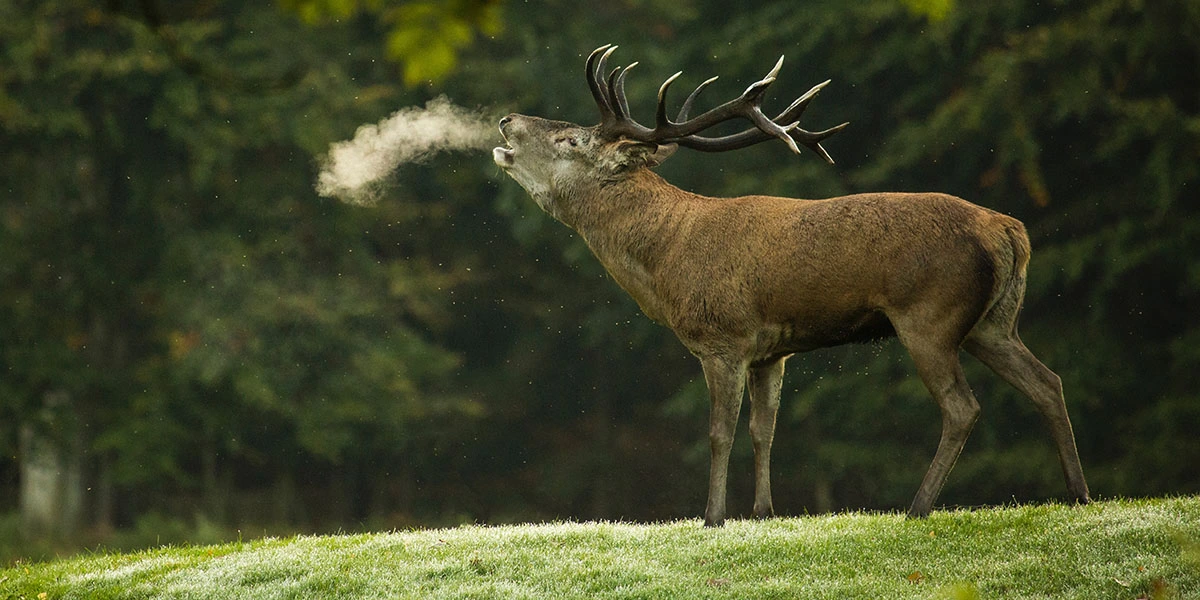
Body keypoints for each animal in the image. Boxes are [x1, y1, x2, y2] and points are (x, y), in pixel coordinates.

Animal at [492, 44, 1091, 526]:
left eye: (570, 139)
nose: (505, 121)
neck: (666, 263)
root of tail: (1011, 231)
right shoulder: (771, 351)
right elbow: (765, 429)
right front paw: (763, 511)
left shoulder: (724, 338)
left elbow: (720, 433)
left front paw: (713, 517)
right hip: (993, 322)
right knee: (1048, 381)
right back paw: (1079, 494)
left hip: (930, 315)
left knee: (962, 407)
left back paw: (917, 507)